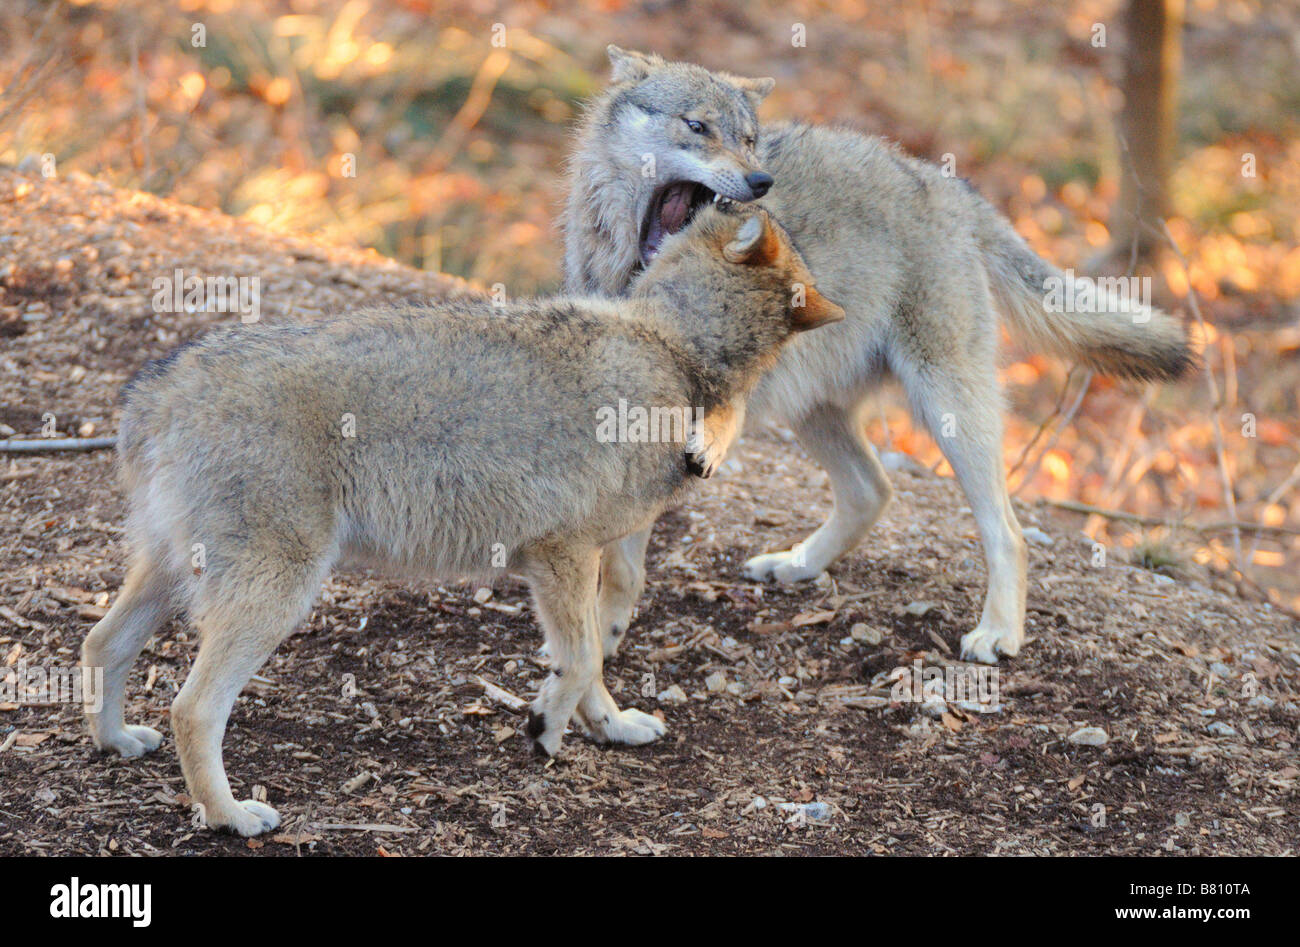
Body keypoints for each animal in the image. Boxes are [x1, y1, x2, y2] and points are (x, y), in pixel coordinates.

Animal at [81, 205, 843, 836]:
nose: (743, 186)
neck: (674, 348)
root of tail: (159, 385)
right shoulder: (563, 556)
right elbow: (584, 658)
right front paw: (546, 729)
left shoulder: (575, 562)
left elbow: (593, 665)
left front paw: (611, 727)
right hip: (273, 598)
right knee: (192, 709)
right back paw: (231, 817)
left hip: (172, 578)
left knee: (99, 645)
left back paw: (115, 743)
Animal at [565, 46, 1193, 665]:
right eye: (697, 127)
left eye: (749, 139)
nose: (761, 181)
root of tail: (953, 189)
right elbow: (611, 558)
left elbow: (624, 556)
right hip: (813, 410)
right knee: (873, 491)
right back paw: (797, 565)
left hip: (947, 410)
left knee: (1006, 532)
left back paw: (998, 633)